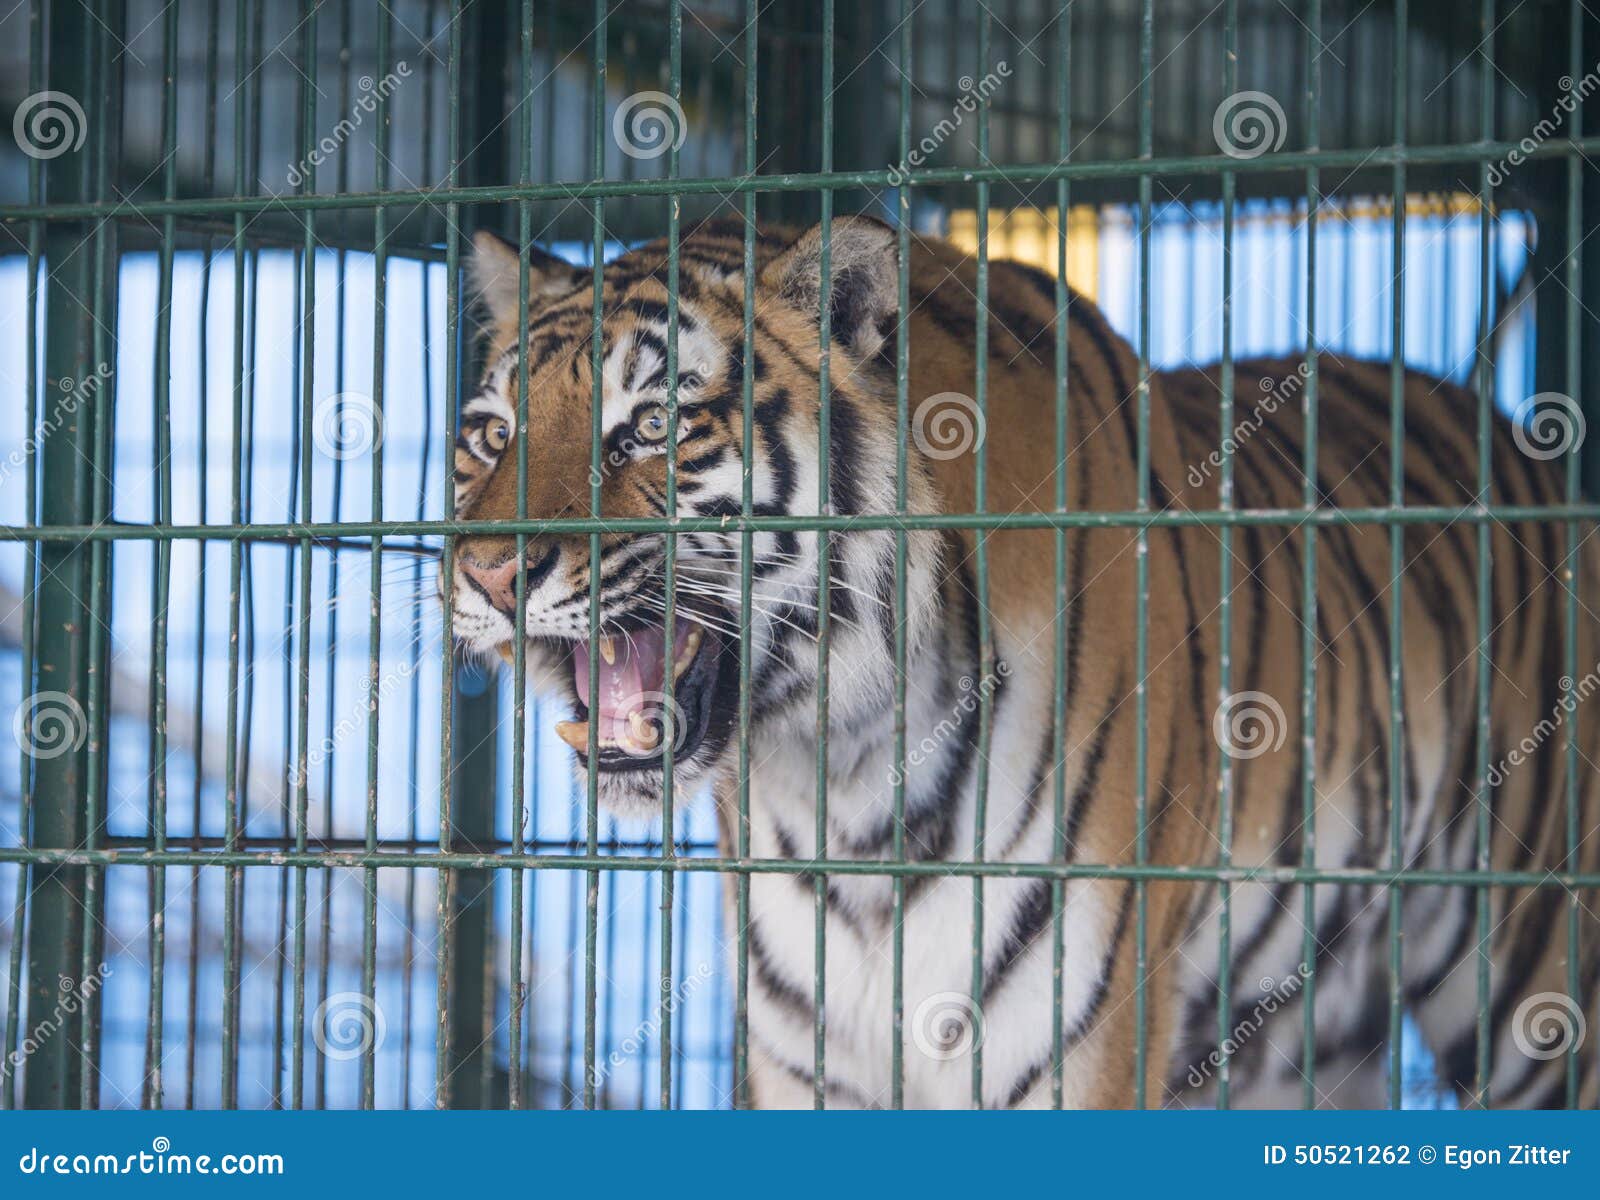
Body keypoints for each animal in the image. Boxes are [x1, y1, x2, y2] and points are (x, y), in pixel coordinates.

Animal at [446, 214, 1600, 1109]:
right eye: (493, 435)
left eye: (651, 425)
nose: (491, 575)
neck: (842, 775)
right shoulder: (804, 1054)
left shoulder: (1074, 1035)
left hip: (1534, 982)